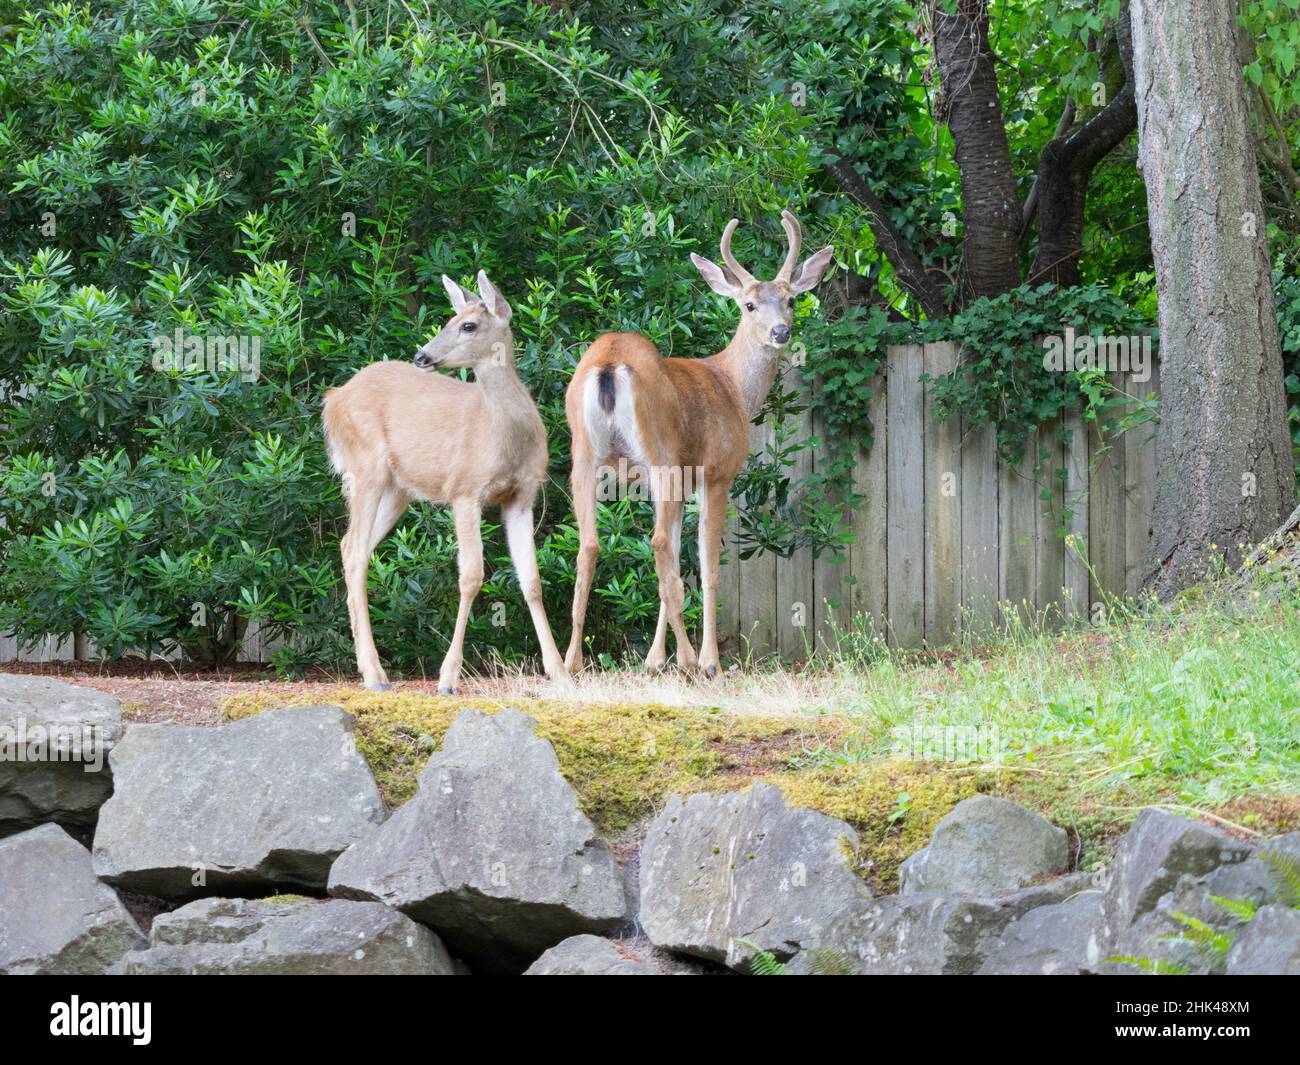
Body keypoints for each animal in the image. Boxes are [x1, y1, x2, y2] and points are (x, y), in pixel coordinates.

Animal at [322, 271, 568, 694]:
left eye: (467, 325)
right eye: (449, 320)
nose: (422, 356)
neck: (503, 436)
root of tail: (332, 400)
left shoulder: (522, 497)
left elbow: (532, 579)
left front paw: (559, 670)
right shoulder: (465, 491)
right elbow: (470, 576)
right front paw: (448, 677)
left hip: (397, 489)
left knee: (352, 546)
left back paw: (367, 668)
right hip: (365, 466)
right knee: (354, 550)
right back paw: (374, 674)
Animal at [563, 210, 834, 678]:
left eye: (790, 300)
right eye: (749, 305)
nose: (781, 332)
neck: (733, 387)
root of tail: (609, 362)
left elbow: (674, 563)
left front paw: (654, 660)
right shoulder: (716, 473)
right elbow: (707, 566)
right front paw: (708, 661)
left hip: (584, 455)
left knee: (591, 544)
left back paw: (569, 662)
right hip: (660, 455)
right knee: (656, 544)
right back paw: (691, 661)